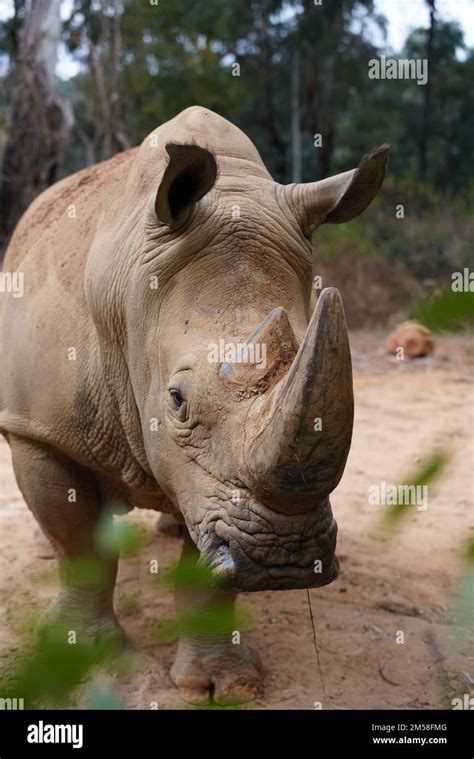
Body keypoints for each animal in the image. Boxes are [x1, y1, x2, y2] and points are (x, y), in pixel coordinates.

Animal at [0, 106, 388, 704]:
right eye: (177, 400)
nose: (285, 560)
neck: (128, 297)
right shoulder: (40, 428)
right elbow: (79, 544)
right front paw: (83, 655)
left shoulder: (213, 485)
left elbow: (207, 574)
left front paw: (221, 685)